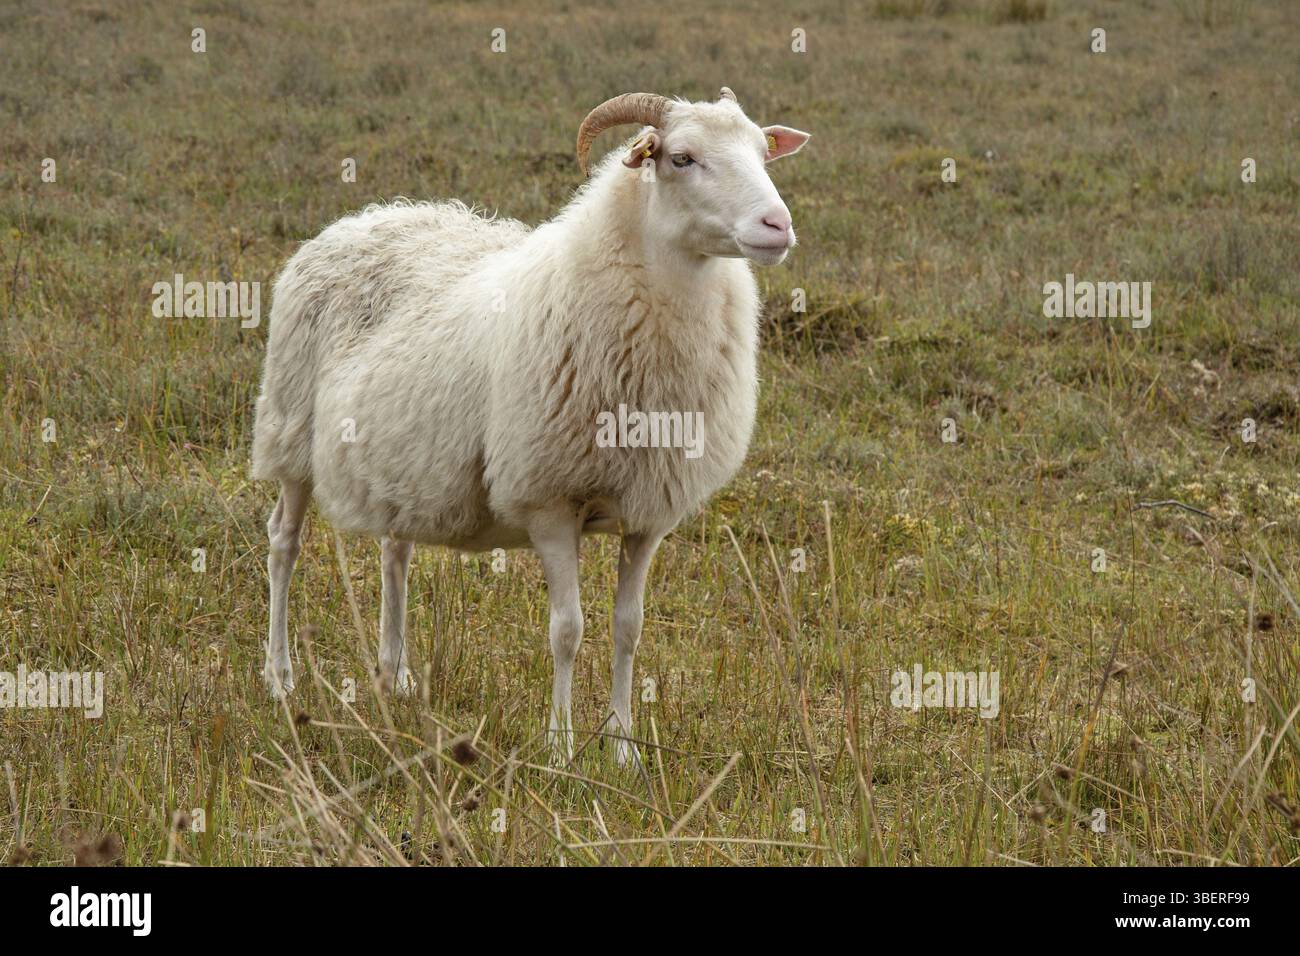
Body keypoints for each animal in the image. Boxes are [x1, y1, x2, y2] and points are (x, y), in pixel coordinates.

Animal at [251, 88, 810, 763]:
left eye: (762, 151)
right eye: (681, 157)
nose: (777, 226)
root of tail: (360, 220)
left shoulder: (648, 513)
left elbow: (629, 629)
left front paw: (623, 747)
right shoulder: (549, 501)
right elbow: (567, 630)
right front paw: (561, 748)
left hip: (400, 459)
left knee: (395, 552)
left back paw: (395, 675)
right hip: (290, 432)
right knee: (284, 541)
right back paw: (279, 677)